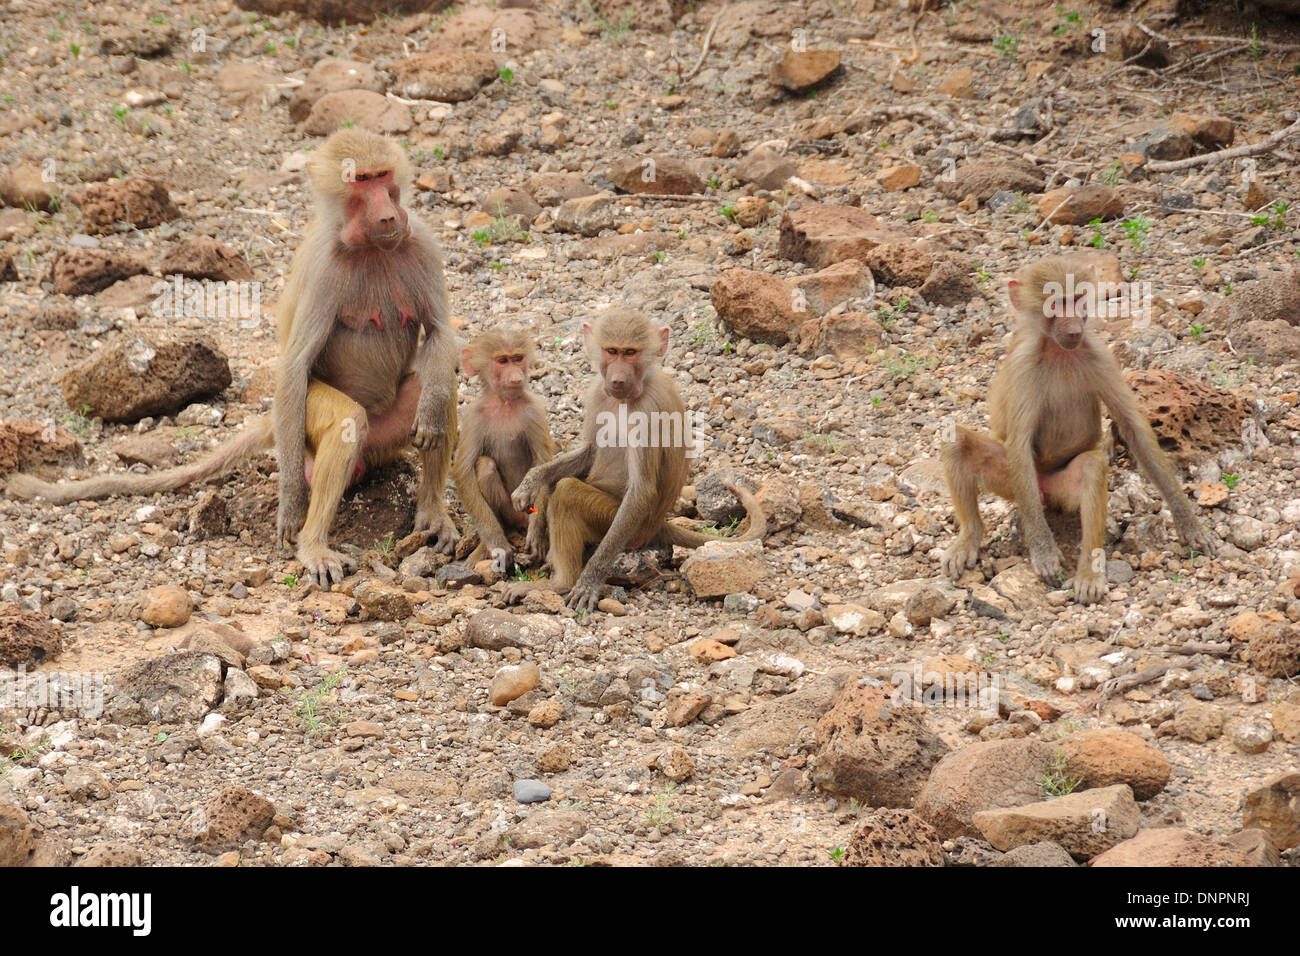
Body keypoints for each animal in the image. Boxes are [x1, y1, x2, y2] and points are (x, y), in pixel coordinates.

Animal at [7, 129, 460, 590]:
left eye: (382, 176)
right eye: (361, 181)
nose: (388, 216)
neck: (368, 247)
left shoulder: (421, 239)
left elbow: (440, 334)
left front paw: (432, 415)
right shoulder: (325, 268)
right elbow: (296, 366)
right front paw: (291, 507)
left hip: (383, 439)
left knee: (439, 390)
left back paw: (433, 514)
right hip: (300, 428)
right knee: (346, 421)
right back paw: (314, 544)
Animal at [453, 327, 554, 572]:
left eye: (517, 358)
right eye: (502, 361)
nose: (516, 376)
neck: (505, 402)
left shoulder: (535, 410)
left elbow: (543, 465)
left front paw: (536, 532)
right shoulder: (473, 416)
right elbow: (464, 471)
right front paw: (496, 543)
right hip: (509, 510)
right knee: (485, 465)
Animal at [504, 309, 766, 612]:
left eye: (630, 353)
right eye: (612, 351)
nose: (617, 380)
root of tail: (657, 526)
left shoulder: (648, 411)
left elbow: (641, 489)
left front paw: (589, 580)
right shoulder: (597, 391)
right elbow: (589, 451)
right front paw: (531, 482)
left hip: (623, 526)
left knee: (568, 492)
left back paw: (561, 583)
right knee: (559, 481)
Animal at [939, 254, 1215, 603]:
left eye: (1077, 299)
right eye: (1056, 304)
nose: (1073, 328)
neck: (1060, 352)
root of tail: (1045, 491)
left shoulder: (1100, 355)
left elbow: (1134, 429)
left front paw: (1188, 523)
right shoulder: (1025, 367)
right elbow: (1018, 444)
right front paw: (1043, 552)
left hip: (1057, 487)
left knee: (1091, 467)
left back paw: (1089, 571)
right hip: (1016, 485)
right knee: (955, 441)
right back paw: (970, 538)